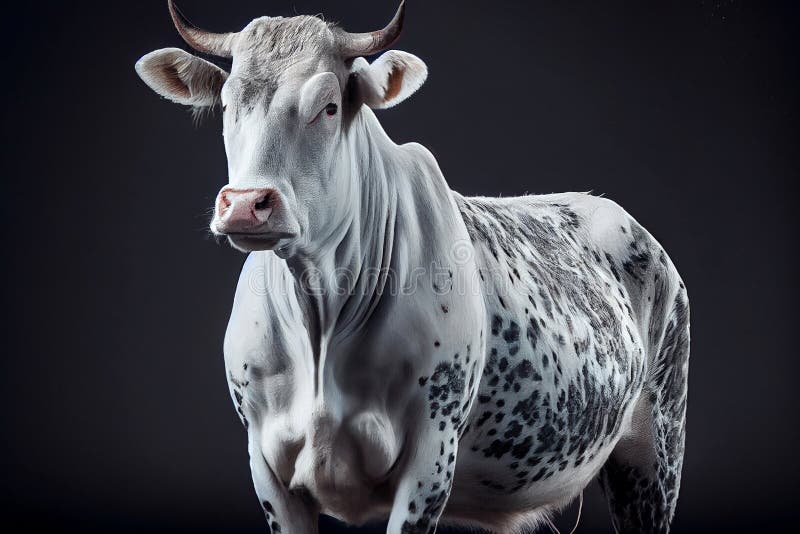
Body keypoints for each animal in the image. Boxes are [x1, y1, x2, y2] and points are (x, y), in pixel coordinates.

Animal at [135, 2, 690, 533]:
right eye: (228, 105)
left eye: (328, 106)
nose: (247, 204)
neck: (320, 320)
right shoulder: (265, 463)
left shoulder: (431, 454)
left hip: (658, 447)